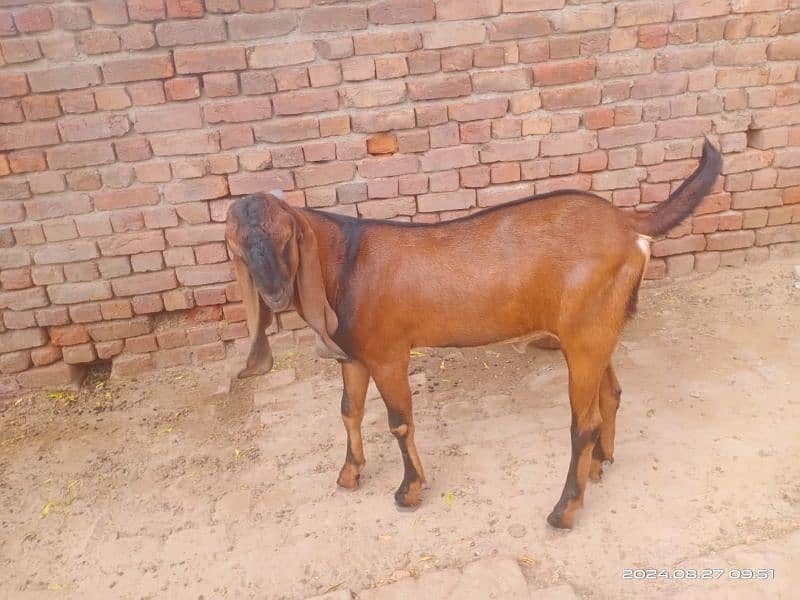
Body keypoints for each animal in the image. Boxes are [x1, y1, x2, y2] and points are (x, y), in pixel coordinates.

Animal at [225, 140, 722, 529]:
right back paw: (599, 466)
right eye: (237, 246)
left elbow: (399, 421)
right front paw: (349, 475)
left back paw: (563, 510)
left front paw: (409, 491)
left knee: (584, 422)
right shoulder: (354, 355)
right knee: (611, 394)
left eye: (287, 238)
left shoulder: (388, 353)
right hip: (597, 329)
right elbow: (349, 411)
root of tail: (630, 225)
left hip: (585, 333)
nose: (272, 294)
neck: (346, 261)